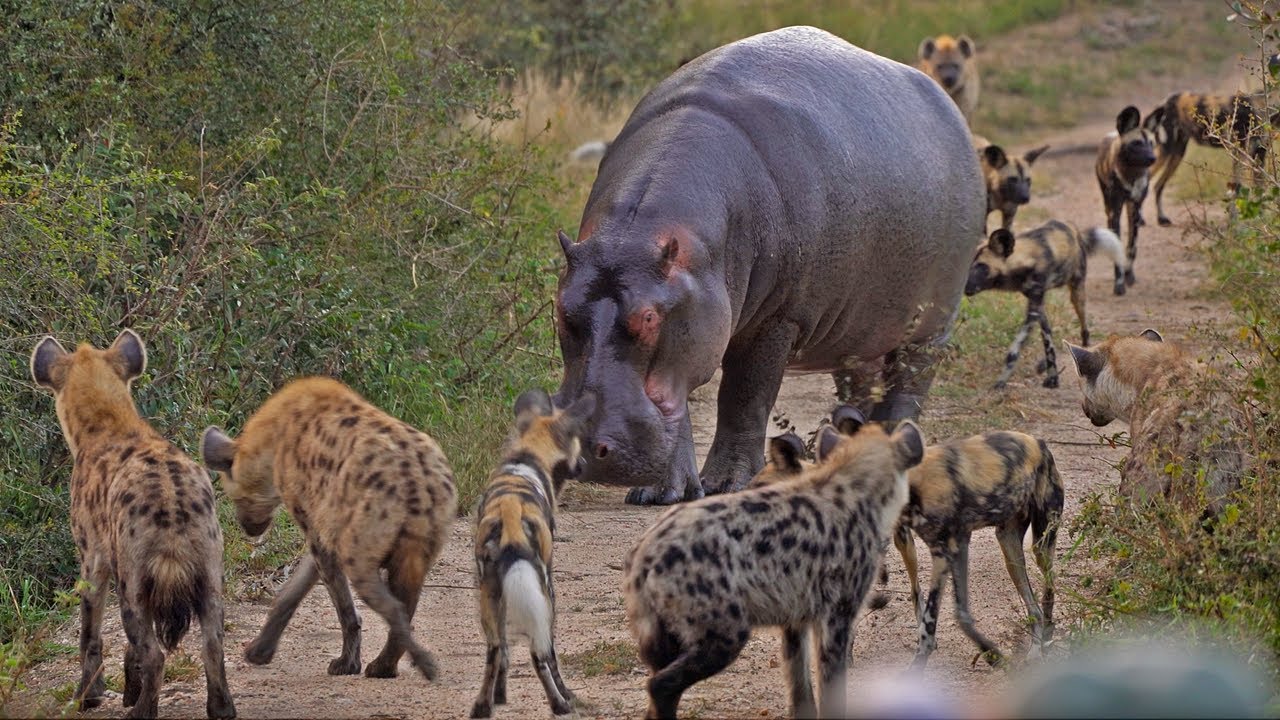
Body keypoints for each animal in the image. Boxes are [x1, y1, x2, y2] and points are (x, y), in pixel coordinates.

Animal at [554, 26, 984, 505]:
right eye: (561, 311)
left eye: (648, 317)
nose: (586, 447)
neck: (642, 232)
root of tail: (948, 106)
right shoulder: (692, 317)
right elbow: (678, 401)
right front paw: (660, 493)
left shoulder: (777, 318)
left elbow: (745, 396)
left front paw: (724, 484)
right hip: (860, 327)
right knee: (860, 382)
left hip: (932, 322)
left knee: (907, 385)